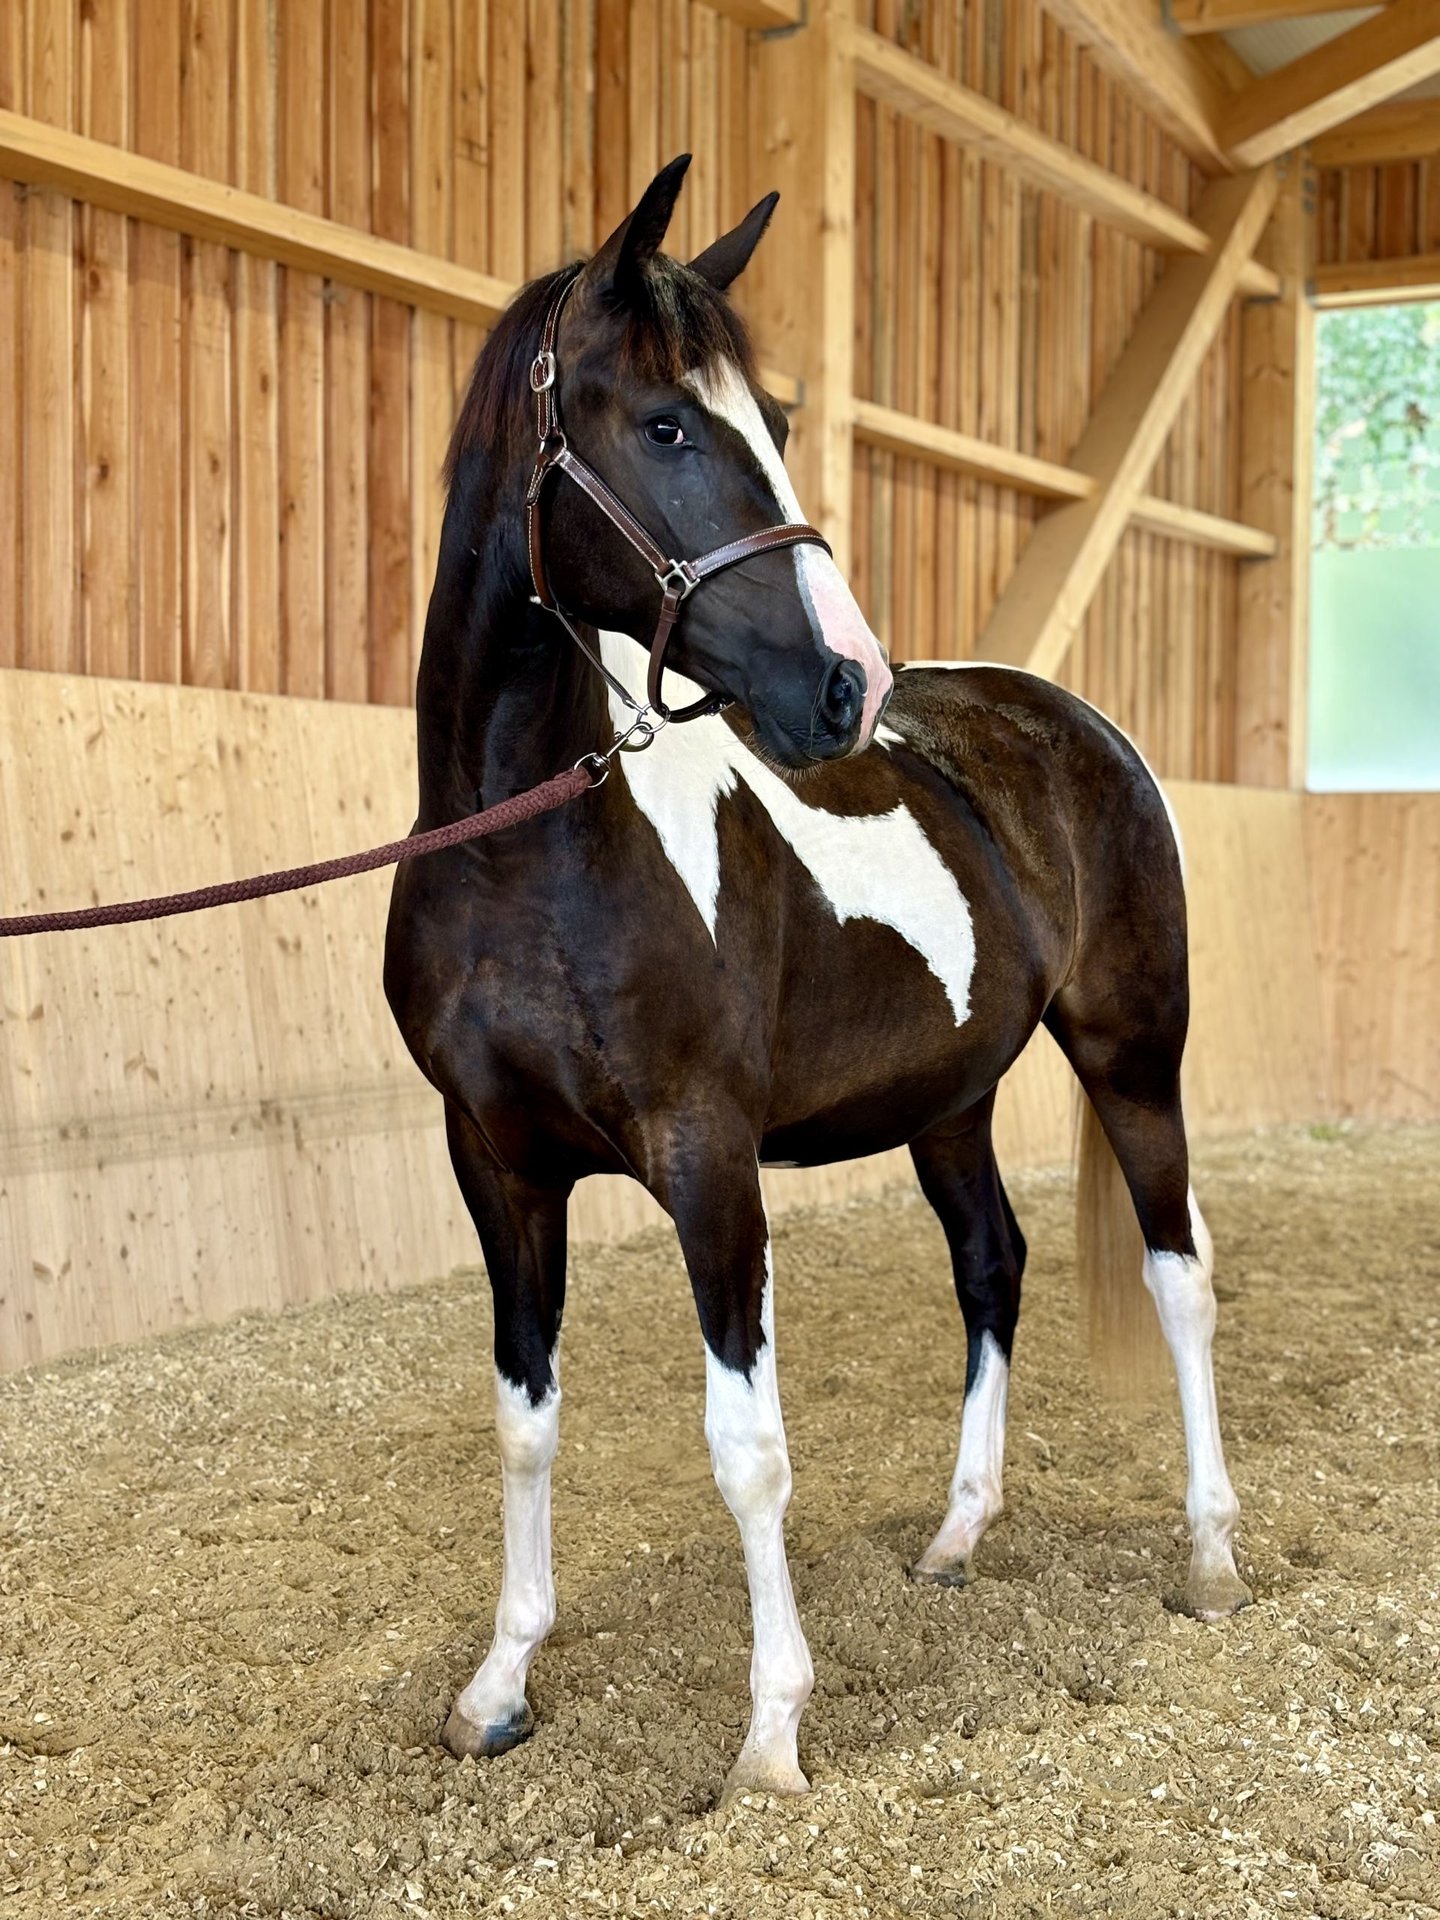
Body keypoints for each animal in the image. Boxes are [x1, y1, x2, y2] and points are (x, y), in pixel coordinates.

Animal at [384, 155, 1250, 1803]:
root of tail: (1074, 724)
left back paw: (1213, 1555)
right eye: (666, 423)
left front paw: (773, 1733)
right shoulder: (493, 1165)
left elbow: (749, 1448)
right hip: (950, 1101)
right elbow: (525, 1425)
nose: (849, 684)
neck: (530, 856)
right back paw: (960, 1535)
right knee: (994, 1268)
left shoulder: (708, 1161)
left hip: (1135, 1054)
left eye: (774, 425)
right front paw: (499, 1686)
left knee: (1180, 1277)